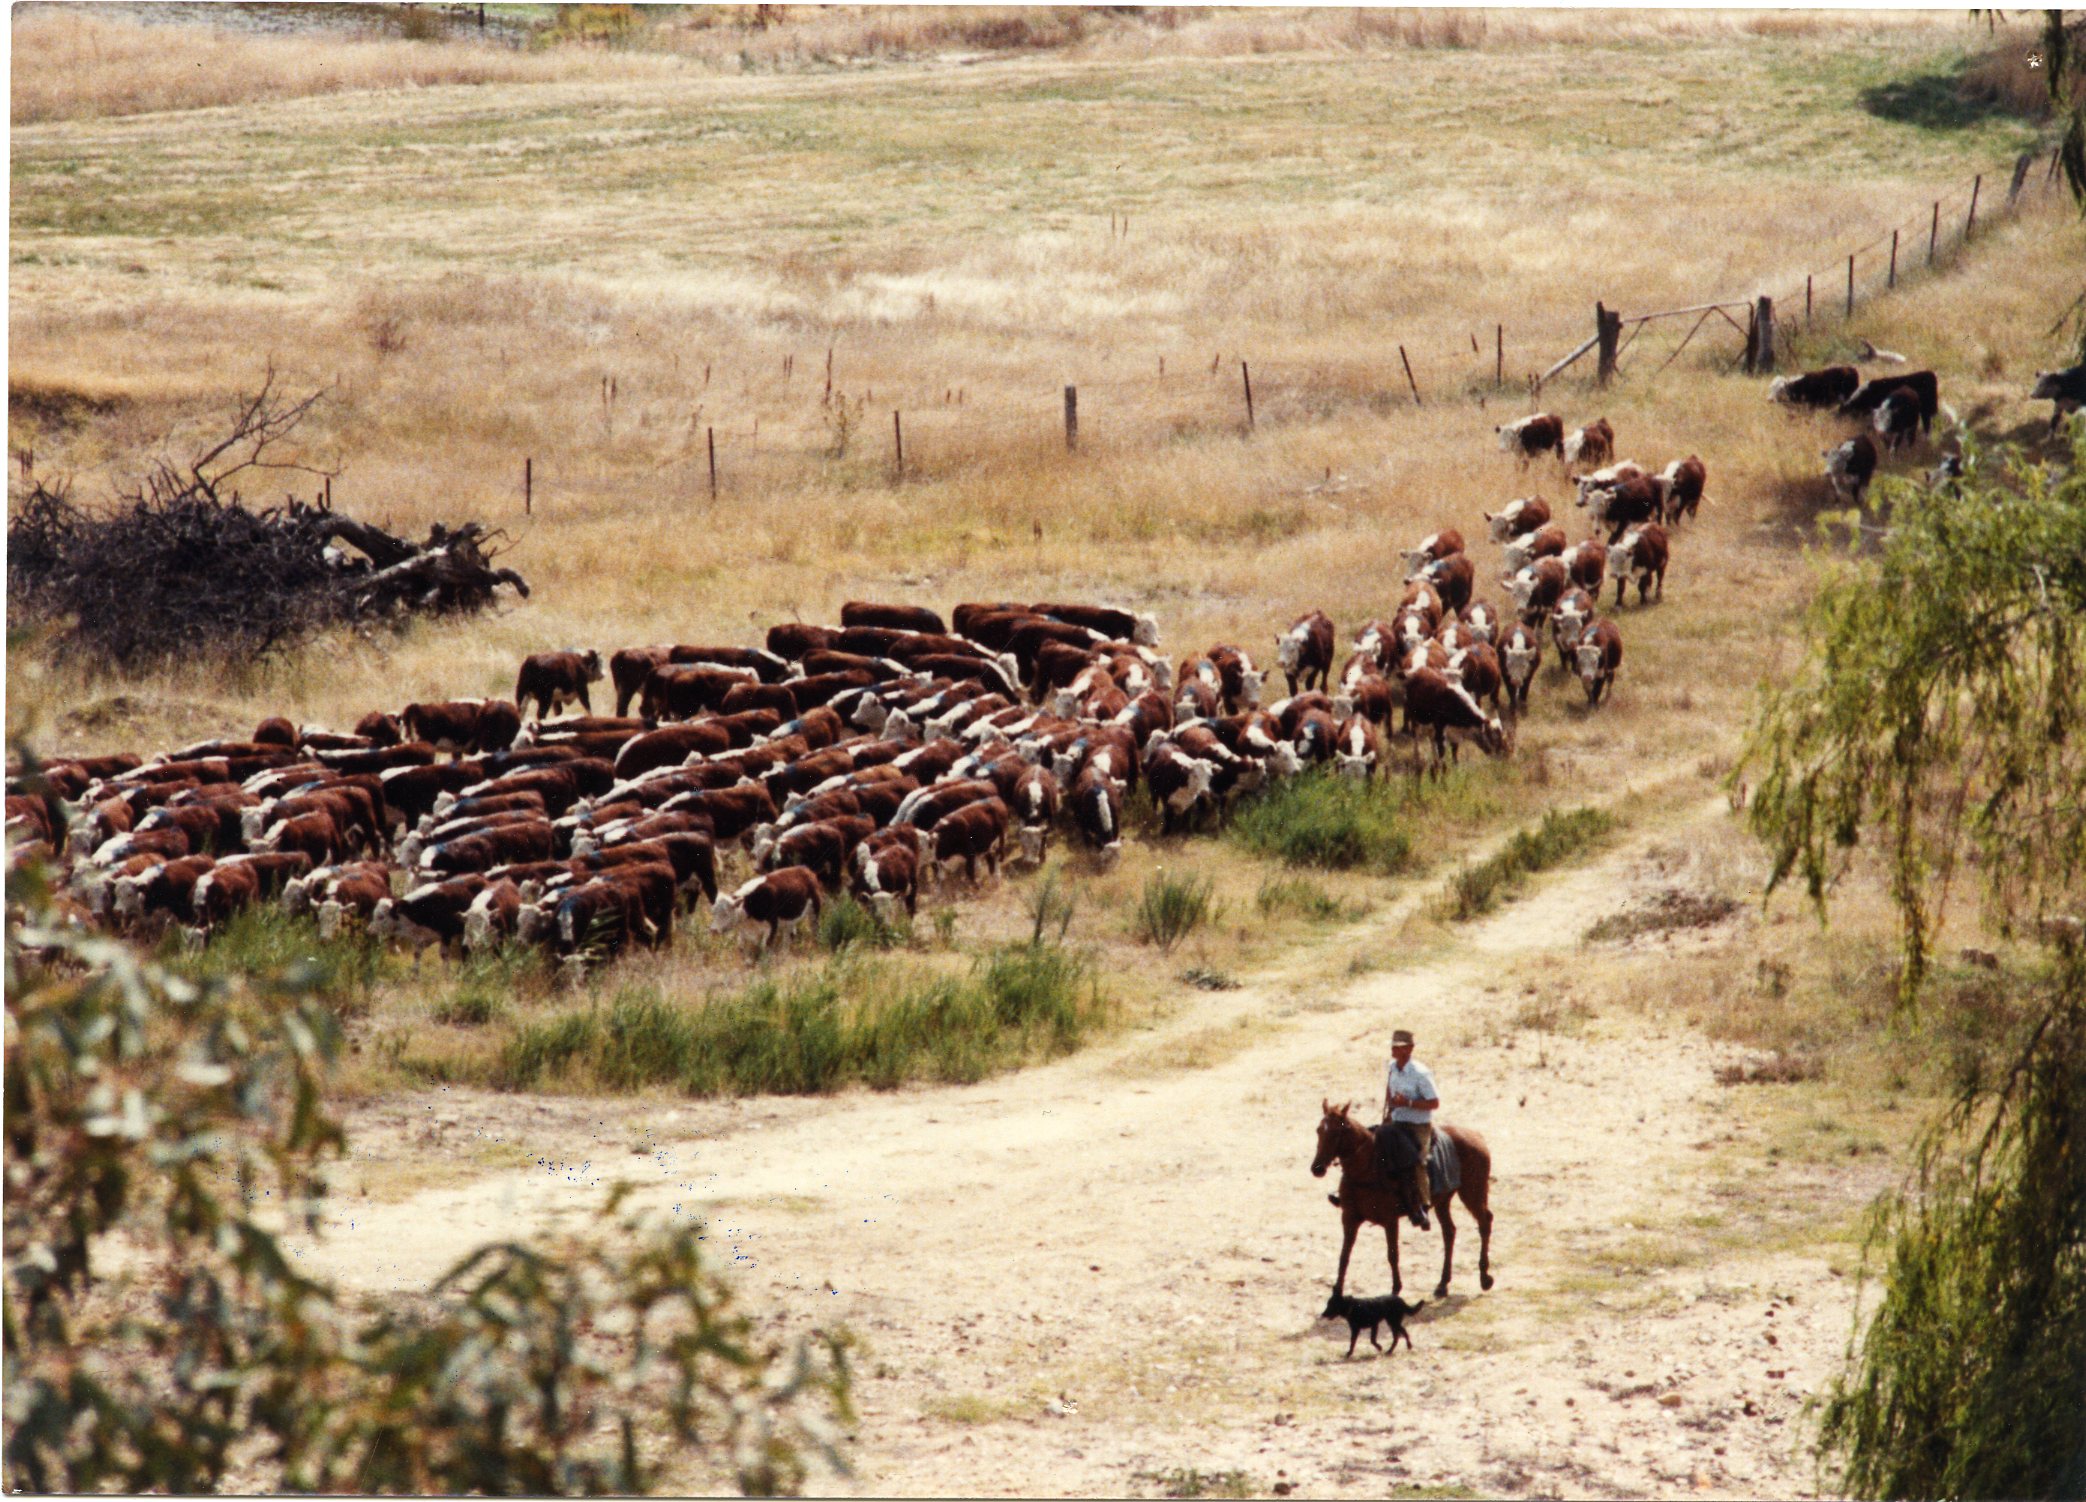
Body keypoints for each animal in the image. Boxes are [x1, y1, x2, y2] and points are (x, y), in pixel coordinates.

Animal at [1311, 1098, 1495, 1300]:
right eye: (1319, 1130)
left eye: (1337, 1132)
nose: (1317, 1168)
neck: (1367, 1169)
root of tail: (1476, 1136)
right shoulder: (1349, 1218)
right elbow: (1344, 1255)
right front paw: (1337, 1291)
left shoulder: (1390, 1220)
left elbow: (1392, 1254)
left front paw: (1396, 1289)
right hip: (1443, 1201)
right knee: (1449, 1232)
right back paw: (1443, 1284)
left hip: (1473, 1192)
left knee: (1484, 1222)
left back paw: (1485, 1278)